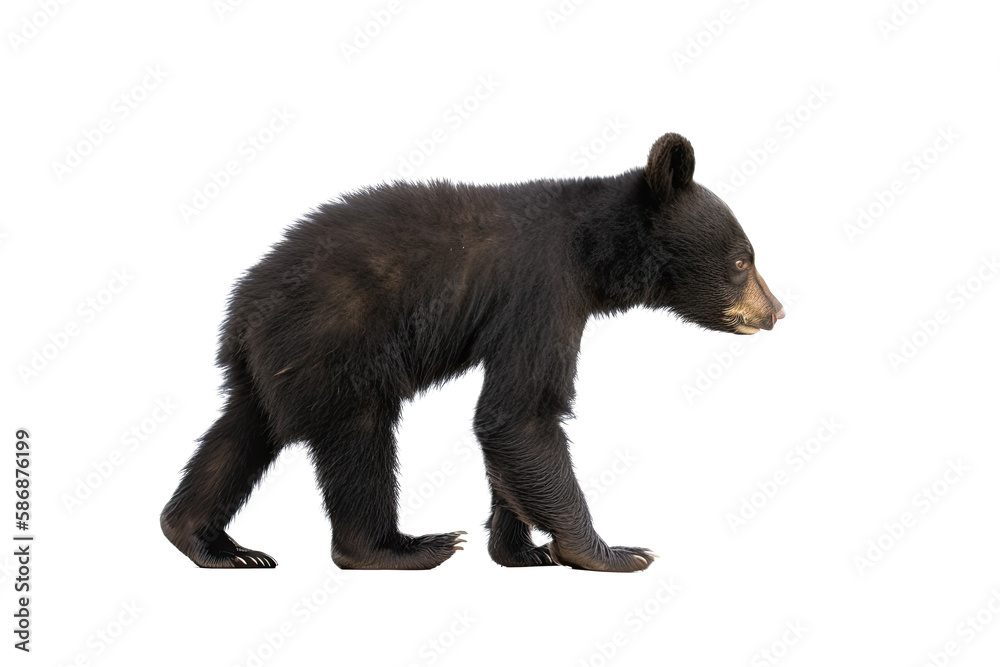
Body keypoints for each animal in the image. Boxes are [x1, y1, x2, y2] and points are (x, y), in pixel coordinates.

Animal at [160, 133, 784, 572]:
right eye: (742, 259)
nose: (776, 311)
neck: (592, 251)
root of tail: (242, 311)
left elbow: (509, 430)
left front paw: (524, 551)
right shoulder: (542, 292)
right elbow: (522, 412)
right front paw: (611, 552)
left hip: (272, 365)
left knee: (240, 434)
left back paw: (210, 542)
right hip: (335, 343)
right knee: (359, 439)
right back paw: (398, 547)